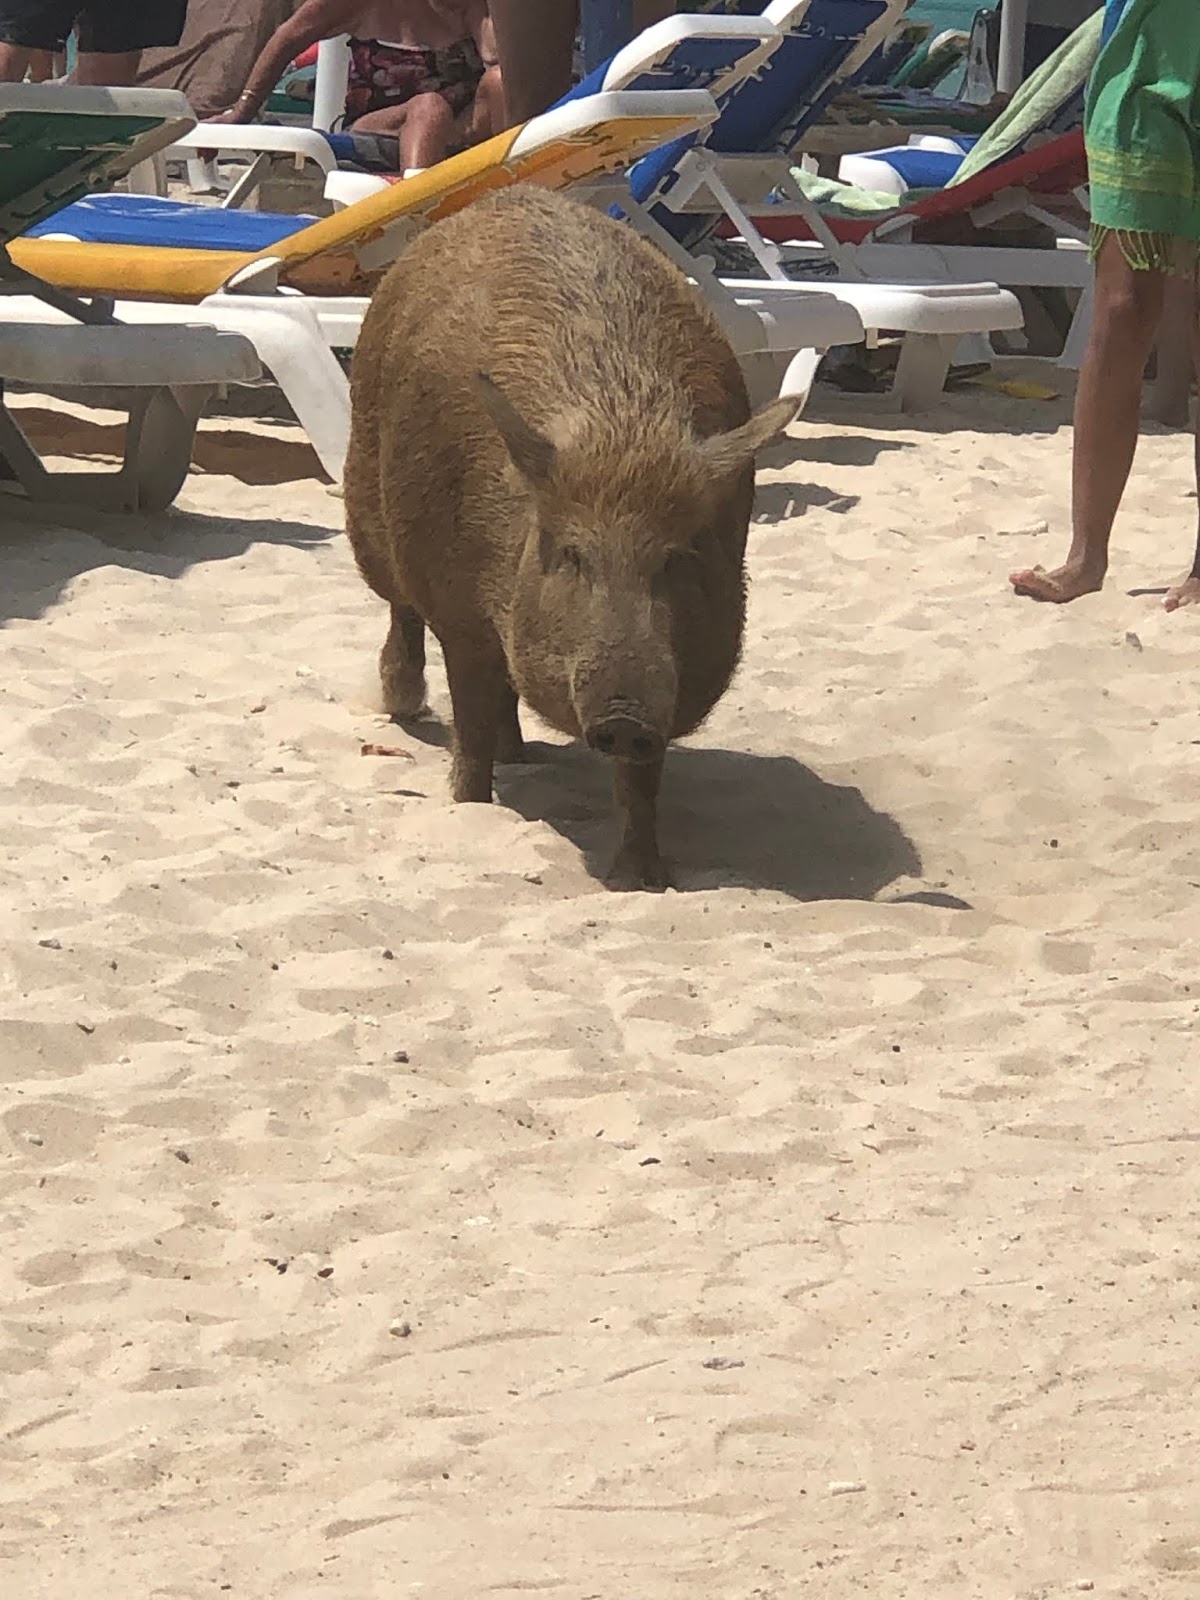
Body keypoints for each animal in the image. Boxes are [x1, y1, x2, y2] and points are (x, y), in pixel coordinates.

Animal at [344, 185, 797, 890]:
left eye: (678, 557)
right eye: (571, 554)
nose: (624, 714)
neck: (619, 428)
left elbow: (641, 782)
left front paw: (641, 880)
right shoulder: (459, 614)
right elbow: (468, 723)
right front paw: (470, 806)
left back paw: (520, 754)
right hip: (367, 512)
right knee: (400, 610)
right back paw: (405, 707)